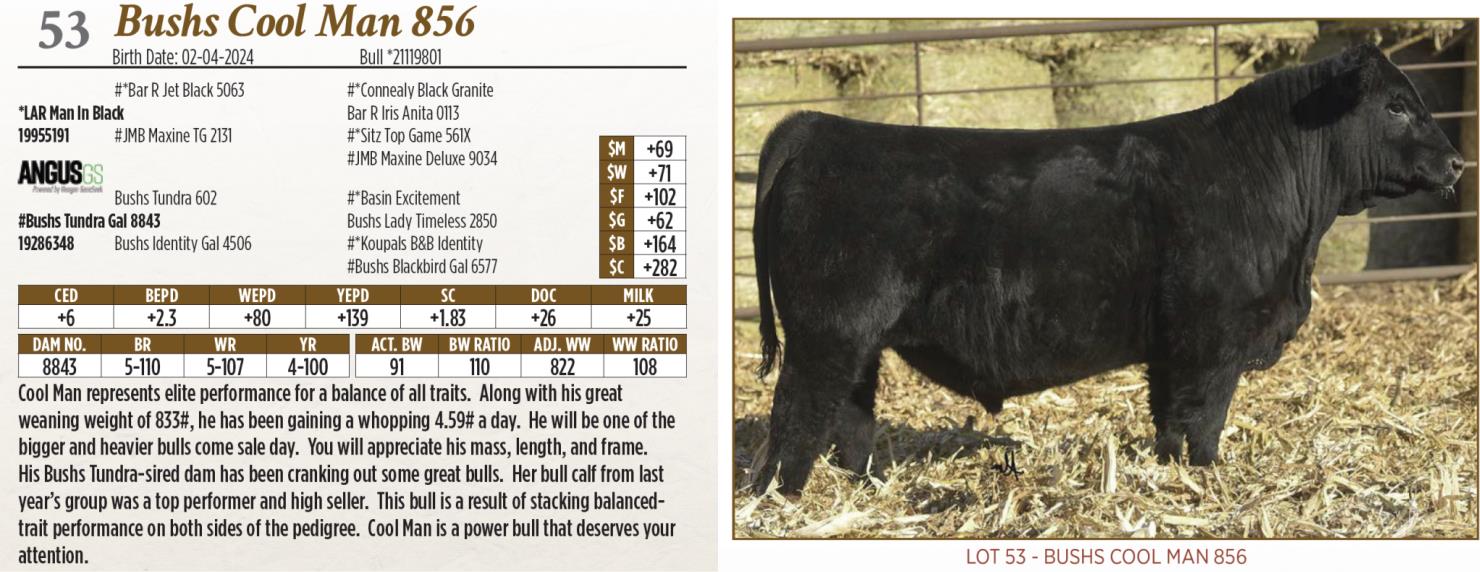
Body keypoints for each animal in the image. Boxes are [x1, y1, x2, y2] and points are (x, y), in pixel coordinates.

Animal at [748, 43, 1465, 496]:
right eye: (1396, 106)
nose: (1458, 162)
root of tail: (816, 126)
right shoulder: (1209, 338)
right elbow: (1202, 421)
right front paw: (1206, 481)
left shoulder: (1174, 346)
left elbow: (1170, 422)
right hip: (827, 333)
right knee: (795, 418)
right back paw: (782, 497)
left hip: (856, 342)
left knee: (848, 416)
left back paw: (863, 485)